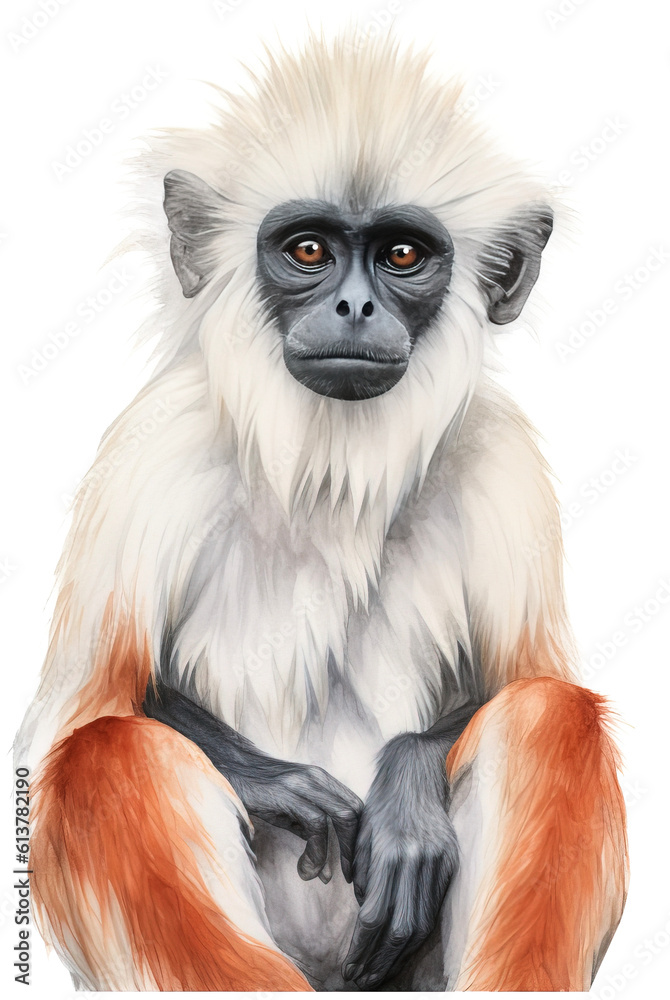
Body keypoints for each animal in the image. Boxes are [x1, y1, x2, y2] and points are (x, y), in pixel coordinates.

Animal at [17, 33, 628, 992]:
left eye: (402, 257)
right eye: (308, 251)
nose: (354, 306)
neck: (332, 470)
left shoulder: (503, 462)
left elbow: (520, 683)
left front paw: (406, 796)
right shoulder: (154, 452)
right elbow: (74, 725)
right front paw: (277, 782)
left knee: (549, 716)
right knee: (108, 756)